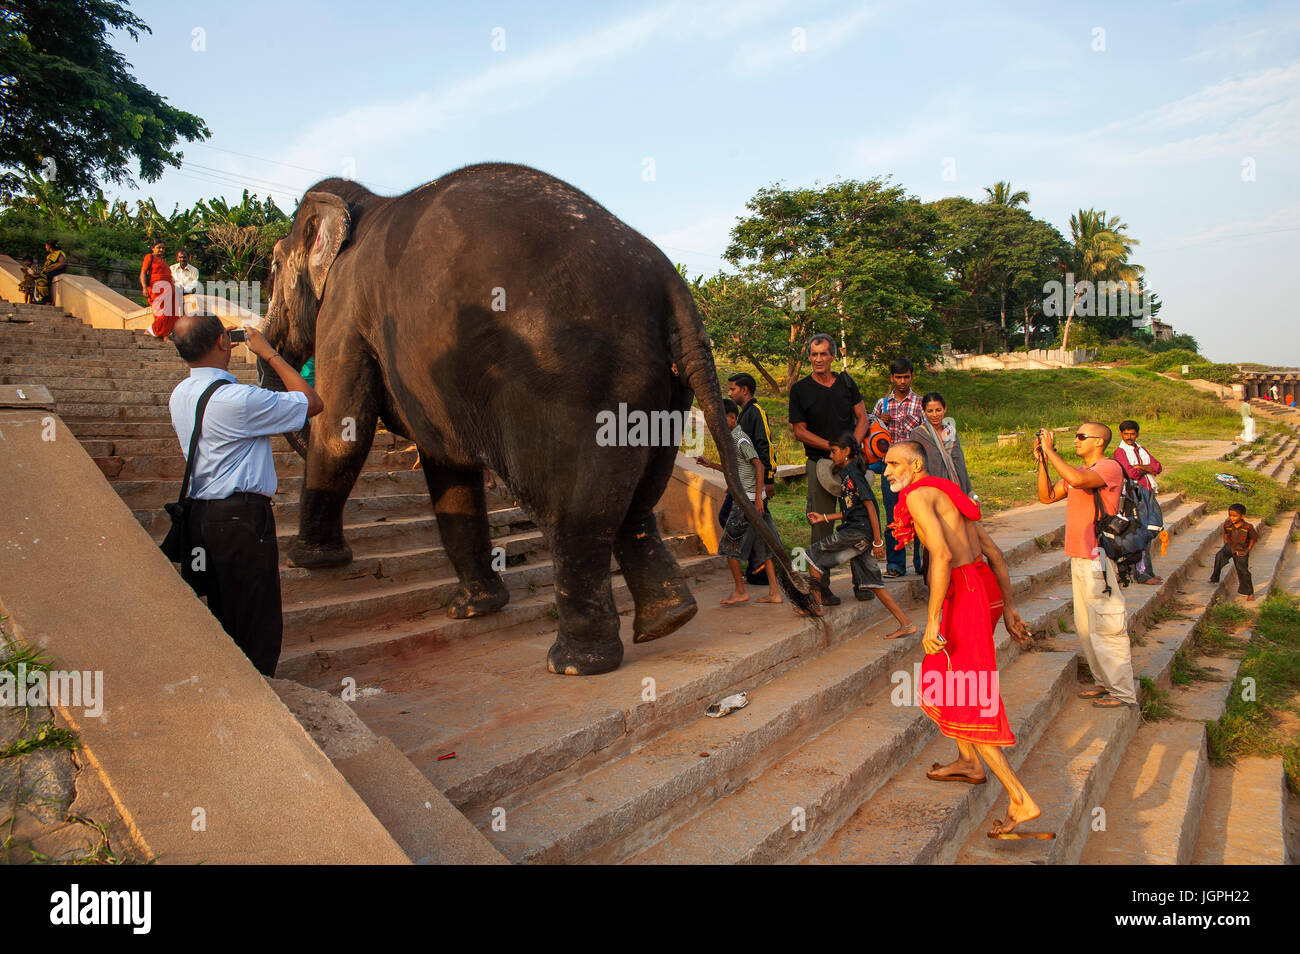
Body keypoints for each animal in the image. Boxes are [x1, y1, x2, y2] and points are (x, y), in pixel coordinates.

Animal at [258, 162, 813, 676]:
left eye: (272, 266)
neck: (362, 204)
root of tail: (671, 284)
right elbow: (446, 462)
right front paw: (474, 610)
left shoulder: (345, 310)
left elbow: (342, 429)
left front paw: (311, 561)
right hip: (662, 392)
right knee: (633, 507)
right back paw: (668, 621)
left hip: (584, 385)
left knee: (574, 517)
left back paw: (575, 665)